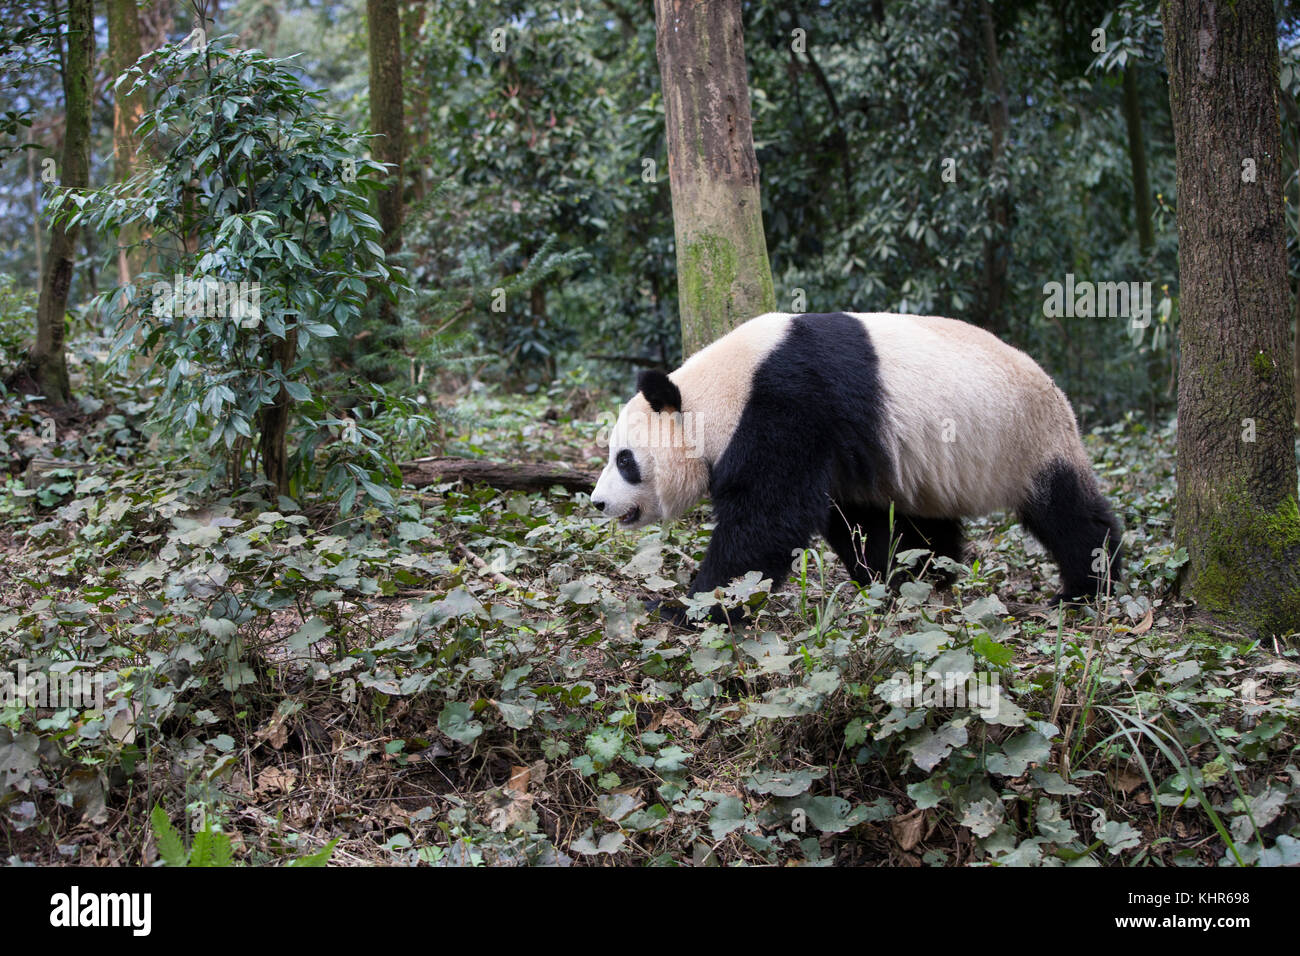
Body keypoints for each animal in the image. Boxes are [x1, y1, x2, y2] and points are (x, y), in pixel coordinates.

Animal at [591, 311, 1122, 618]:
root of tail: (1057, 391)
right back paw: (932, 577)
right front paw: (889, 583)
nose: (597, 502)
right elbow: (854, 520)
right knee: (928, 523)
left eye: (625, 460)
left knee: (1066, 512)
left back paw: (1087, 588)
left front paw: (687, 607)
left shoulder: (789, 401)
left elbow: (766, 521)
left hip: (1025, 439)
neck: (719, 389)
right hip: (932, 464)